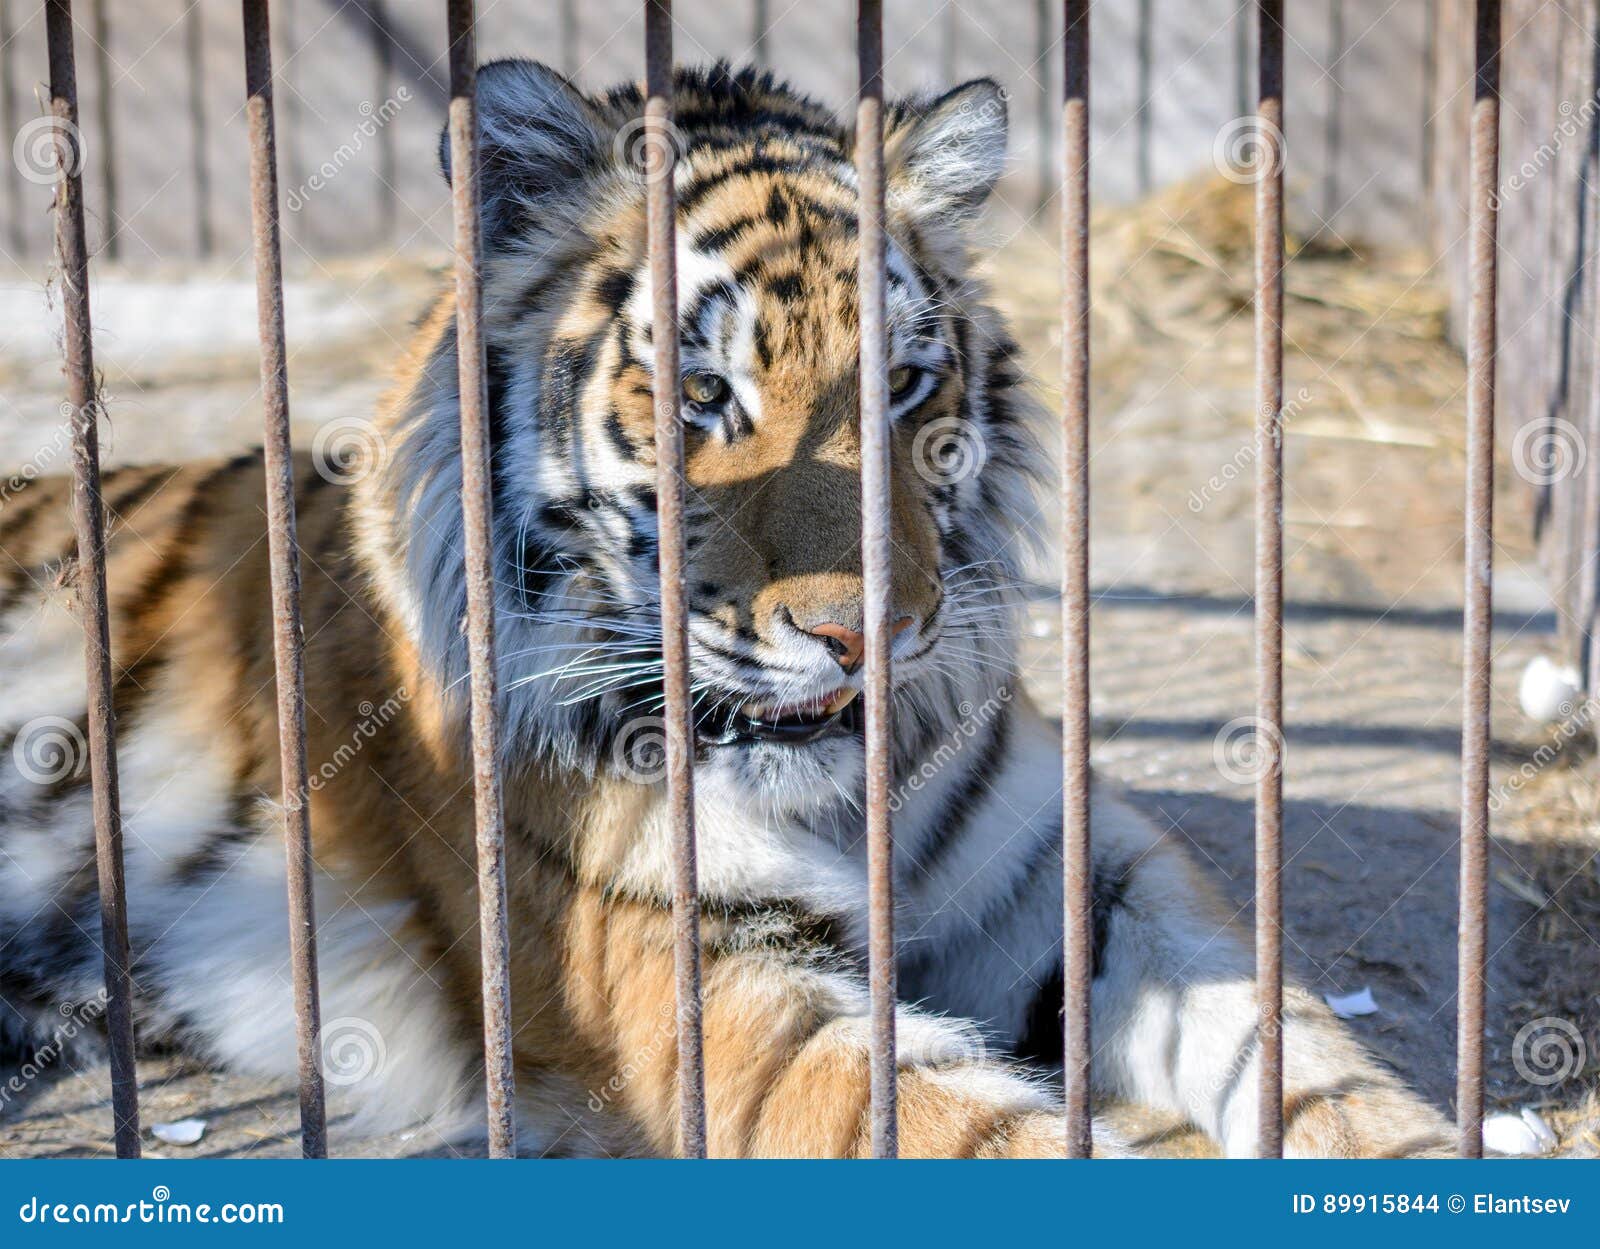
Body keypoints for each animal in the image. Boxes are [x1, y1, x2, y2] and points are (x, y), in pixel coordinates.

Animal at [0, 61, 1453, 1158]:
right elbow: (972, 1128)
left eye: (907, 383)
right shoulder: (708, 978)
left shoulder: (1073, 869)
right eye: (703, 397)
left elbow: (1291, 1035)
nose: (865, 633)